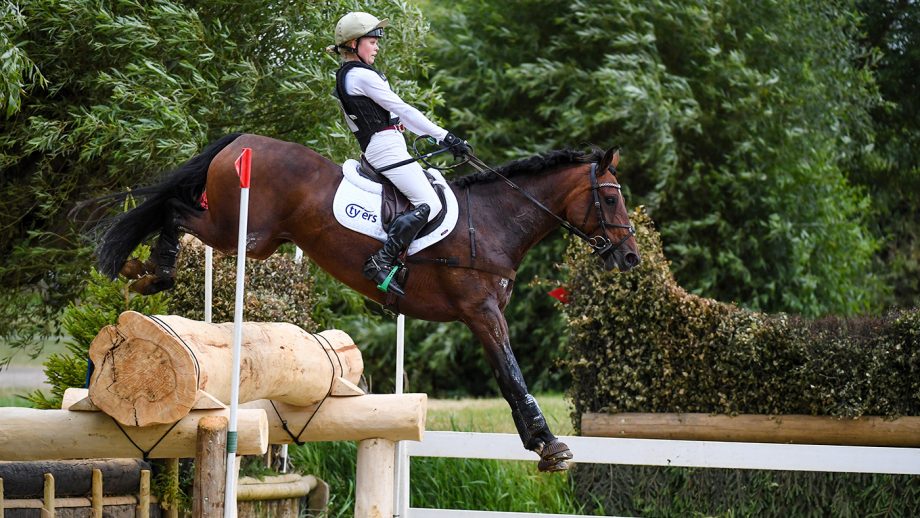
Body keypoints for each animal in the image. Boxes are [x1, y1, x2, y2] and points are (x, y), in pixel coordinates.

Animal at [90, 133, 640, 472]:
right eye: (612, 198)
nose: (631, 258)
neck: (493, 221)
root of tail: (245, 141)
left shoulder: (483, 314)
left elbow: (508, 374)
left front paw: (543, 443)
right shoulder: (481, 312)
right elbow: (511, 374)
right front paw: (548, 445)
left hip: (256, 238)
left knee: (176, 209)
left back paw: (148, 272)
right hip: (238, 230)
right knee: (174, 209)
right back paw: (153, 272)